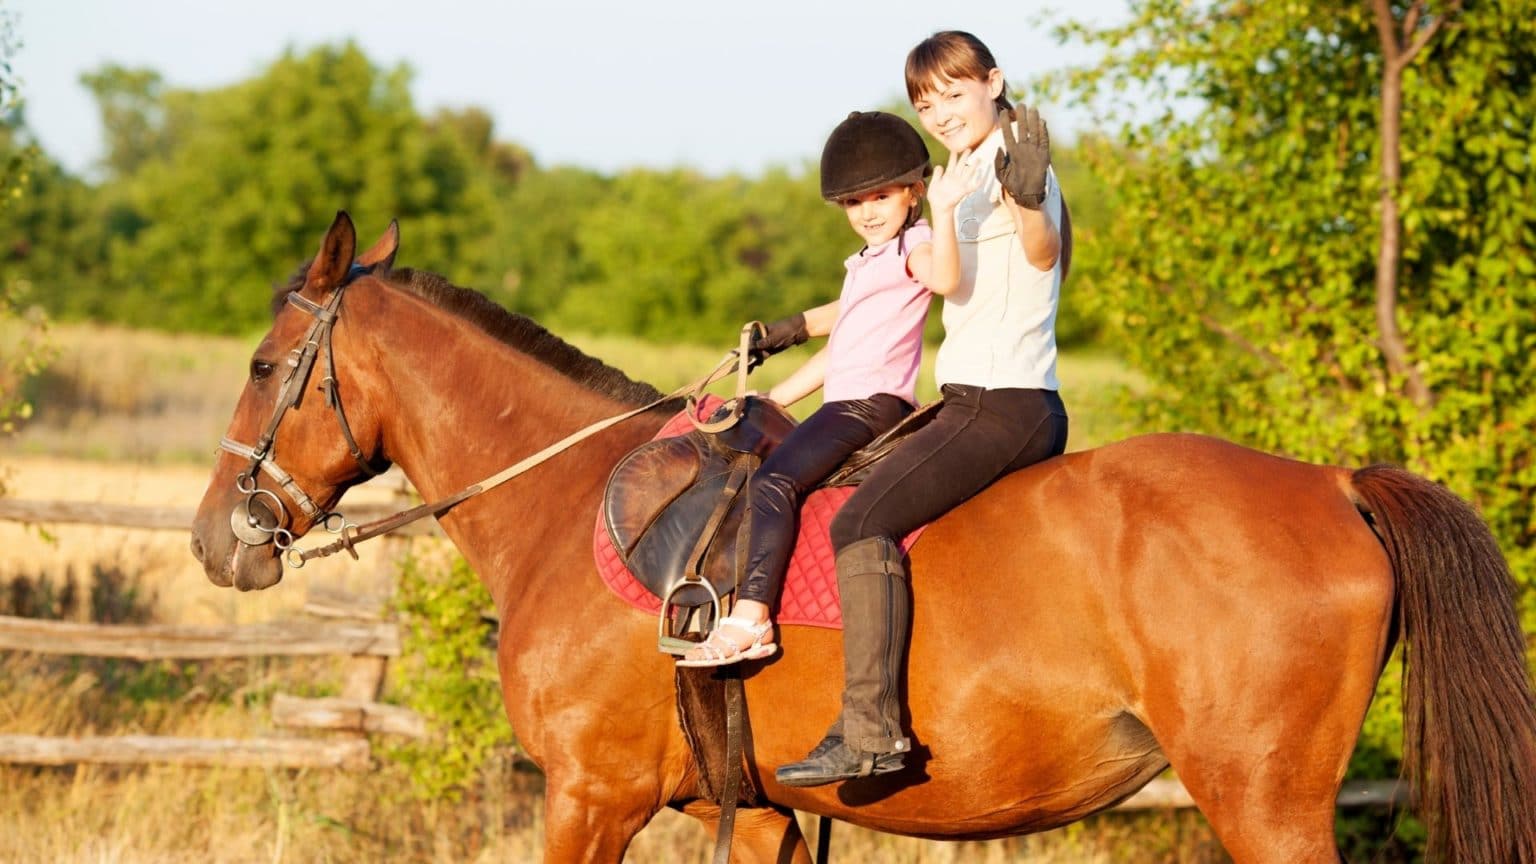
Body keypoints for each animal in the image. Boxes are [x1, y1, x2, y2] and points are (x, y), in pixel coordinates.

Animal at [191, 213, 1536, 863]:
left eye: (262, 365)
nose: (218, 539)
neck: (568, 507)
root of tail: (1334, 483)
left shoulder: (590, 800)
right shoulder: (758, 814)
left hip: (1266, 805)